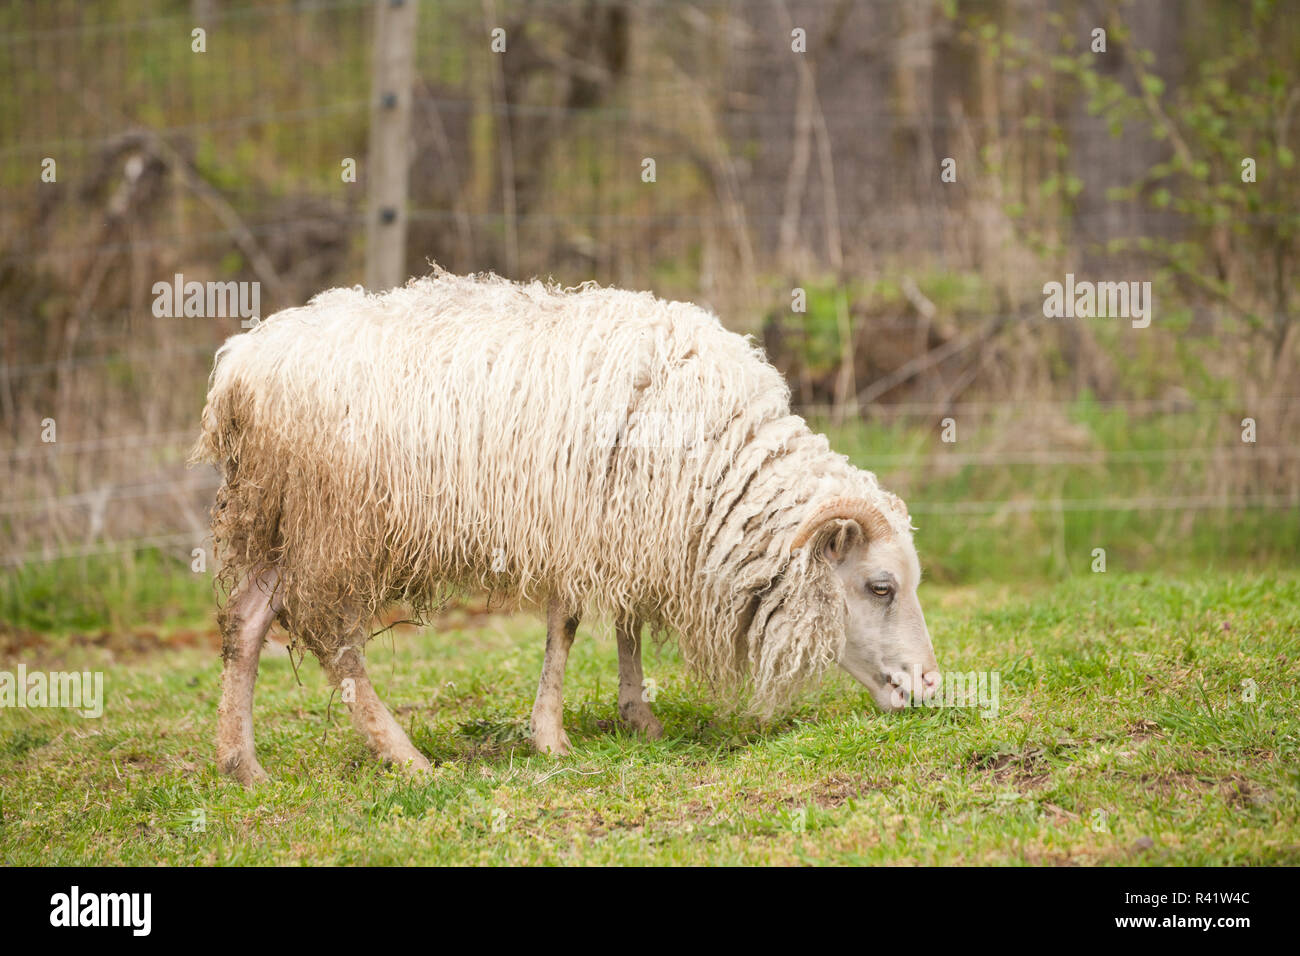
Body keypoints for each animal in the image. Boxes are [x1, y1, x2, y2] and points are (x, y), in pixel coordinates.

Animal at [191, 269, 940, 784]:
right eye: (879, 587)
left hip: (280, 517)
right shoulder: (583, 524)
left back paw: (241, 764)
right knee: (334, 641)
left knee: (246, 623)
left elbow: (627, 618)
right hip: (336, 525)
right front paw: (550, 736)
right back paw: (403, 756)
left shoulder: (627, 523)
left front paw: (638, 716)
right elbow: (569, 624)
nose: (931, 689)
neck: (725, 462)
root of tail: (237, 370)